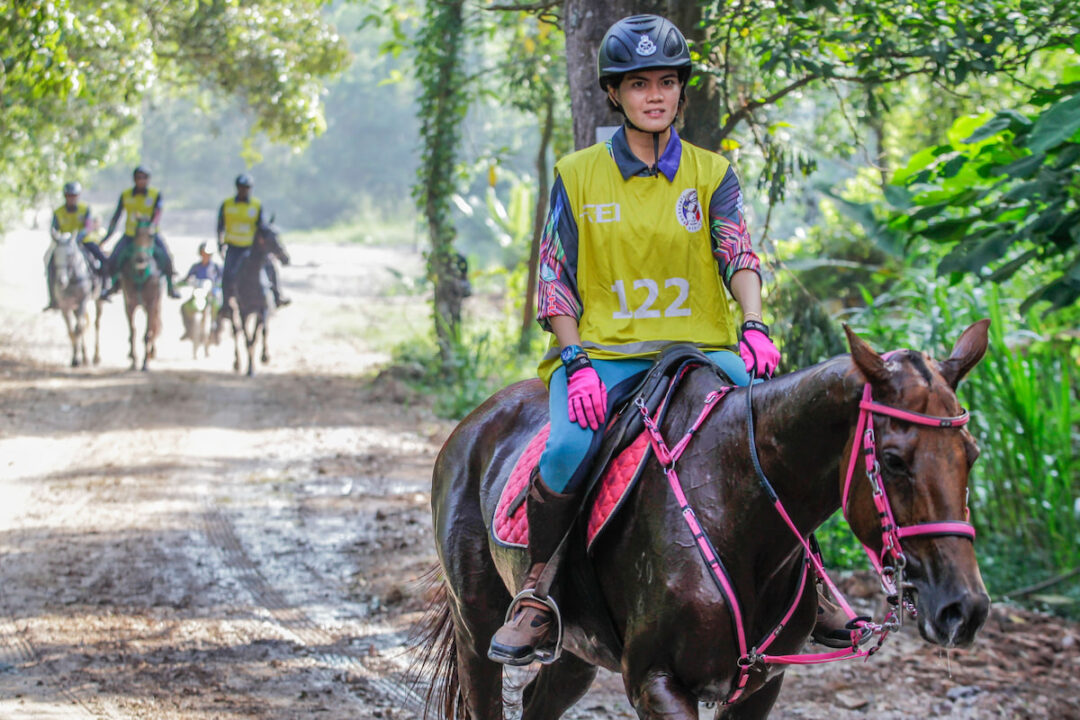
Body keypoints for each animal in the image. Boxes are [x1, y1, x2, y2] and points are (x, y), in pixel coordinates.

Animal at [48, 232, 102, 367]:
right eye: (55, 255)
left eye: (70, 255)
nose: (61, 281)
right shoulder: (64, 306)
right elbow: (71, 330)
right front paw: (75, 358)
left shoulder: (83, 301)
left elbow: (78, 329)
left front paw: (80, 359)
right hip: (74, 307)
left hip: (97, 300)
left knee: (96, 323)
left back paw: (95, 357)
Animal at [119, 224, 162, 371]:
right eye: (134, 235)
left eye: (151, 236)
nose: (140, 259)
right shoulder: (129, 304)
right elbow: (132, 331)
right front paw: (134, 360)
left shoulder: (151, 304)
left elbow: (148, 332)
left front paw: (145, 362)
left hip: (156, 303)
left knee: (155, 325)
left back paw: (151, 352)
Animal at [223, 221, 289, 376]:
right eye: (271, 238)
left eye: (278, 234)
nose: (285, 257)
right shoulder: (243, 312)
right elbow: (248, 339)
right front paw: (249, 368)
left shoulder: (263, 309)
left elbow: (261, 332)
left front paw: (264, 356)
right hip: (234, 309)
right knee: (236, 331)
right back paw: (237, 362)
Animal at [422, 320, 991, 719]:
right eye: (893, 460)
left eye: (972, 454)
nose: (963, 608)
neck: (737, 510)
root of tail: (473, 424)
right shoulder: (655, 682)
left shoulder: (760, 686)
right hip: (476, 627)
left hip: (574, 653)